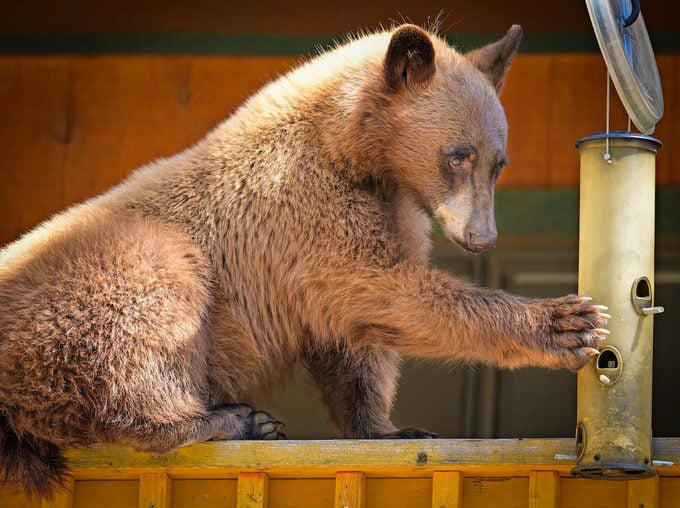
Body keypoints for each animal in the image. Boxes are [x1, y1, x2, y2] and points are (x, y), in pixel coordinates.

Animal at [0, 23, 609, 496]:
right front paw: (566, 322)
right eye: (458, 154)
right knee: (149, 318)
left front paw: (392, 428)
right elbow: (379, 291)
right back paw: (229, 419)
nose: (481, 237)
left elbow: (357, 343)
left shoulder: (386, 211)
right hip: (96, 284)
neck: (354, 151)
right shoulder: (302, 209)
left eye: (498, 162)